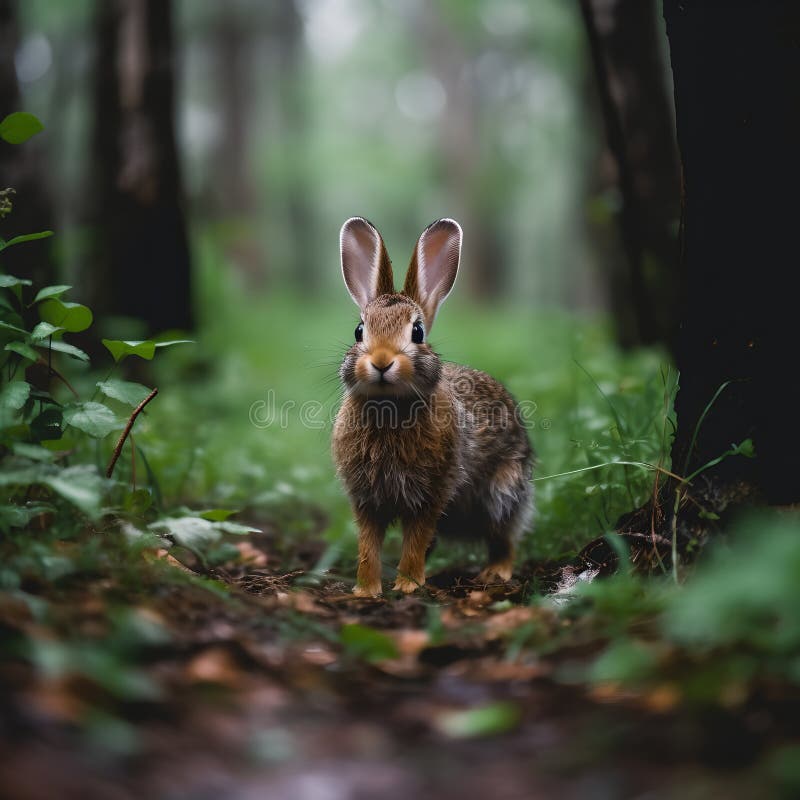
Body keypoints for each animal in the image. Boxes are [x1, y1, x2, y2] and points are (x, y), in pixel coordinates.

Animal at [332, 217, 534, 597]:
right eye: (358, 330)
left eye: (417, 332)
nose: (381, 361)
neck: (390, 406)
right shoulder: (365, 498)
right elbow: (368, 544)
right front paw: (366, 590)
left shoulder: (432, 492)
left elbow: (415, 538)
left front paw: (407, 586)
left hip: (503, 491)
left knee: (505, 535)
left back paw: (494, 573)